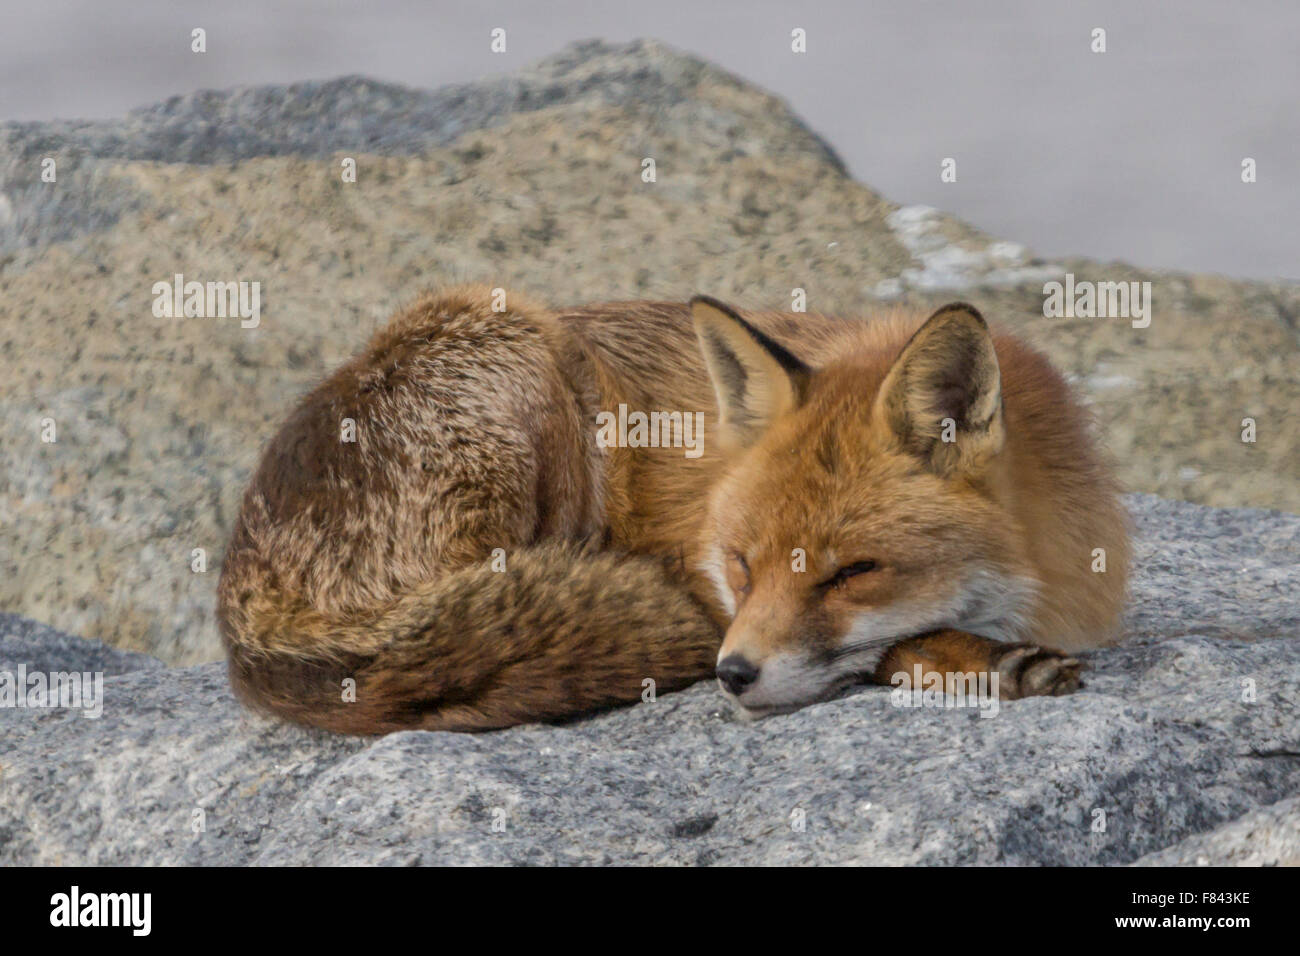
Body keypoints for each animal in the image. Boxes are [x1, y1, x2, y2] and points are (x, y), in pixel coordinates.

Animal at [216, 284, 1129, 733]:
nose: (734, 675)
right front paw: (971, 658)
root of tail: (242, 611)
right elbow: (892, 647)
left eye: (853, 574)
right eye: (742, 565)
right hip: (526, 351)